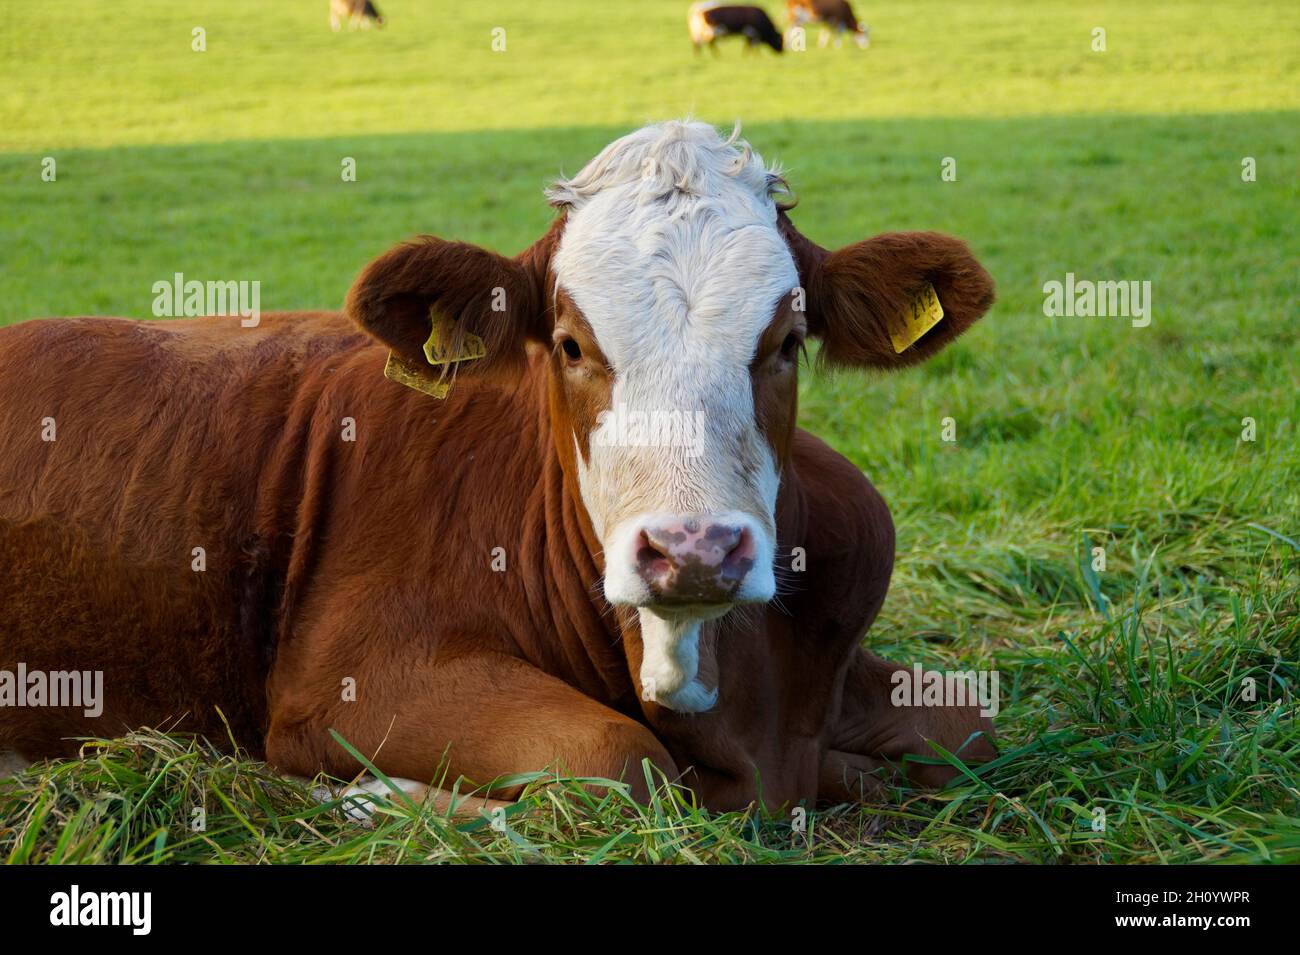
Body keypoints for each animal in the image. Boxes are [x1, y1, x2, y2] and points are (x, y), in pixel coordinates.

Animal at [0, 121, 996, 814]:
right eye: (569, 344)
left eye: (787, 342)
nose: (694, 550)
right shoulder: (347, 683)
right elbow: (618, 758)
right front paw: (376, 797)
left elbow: (968, 729)